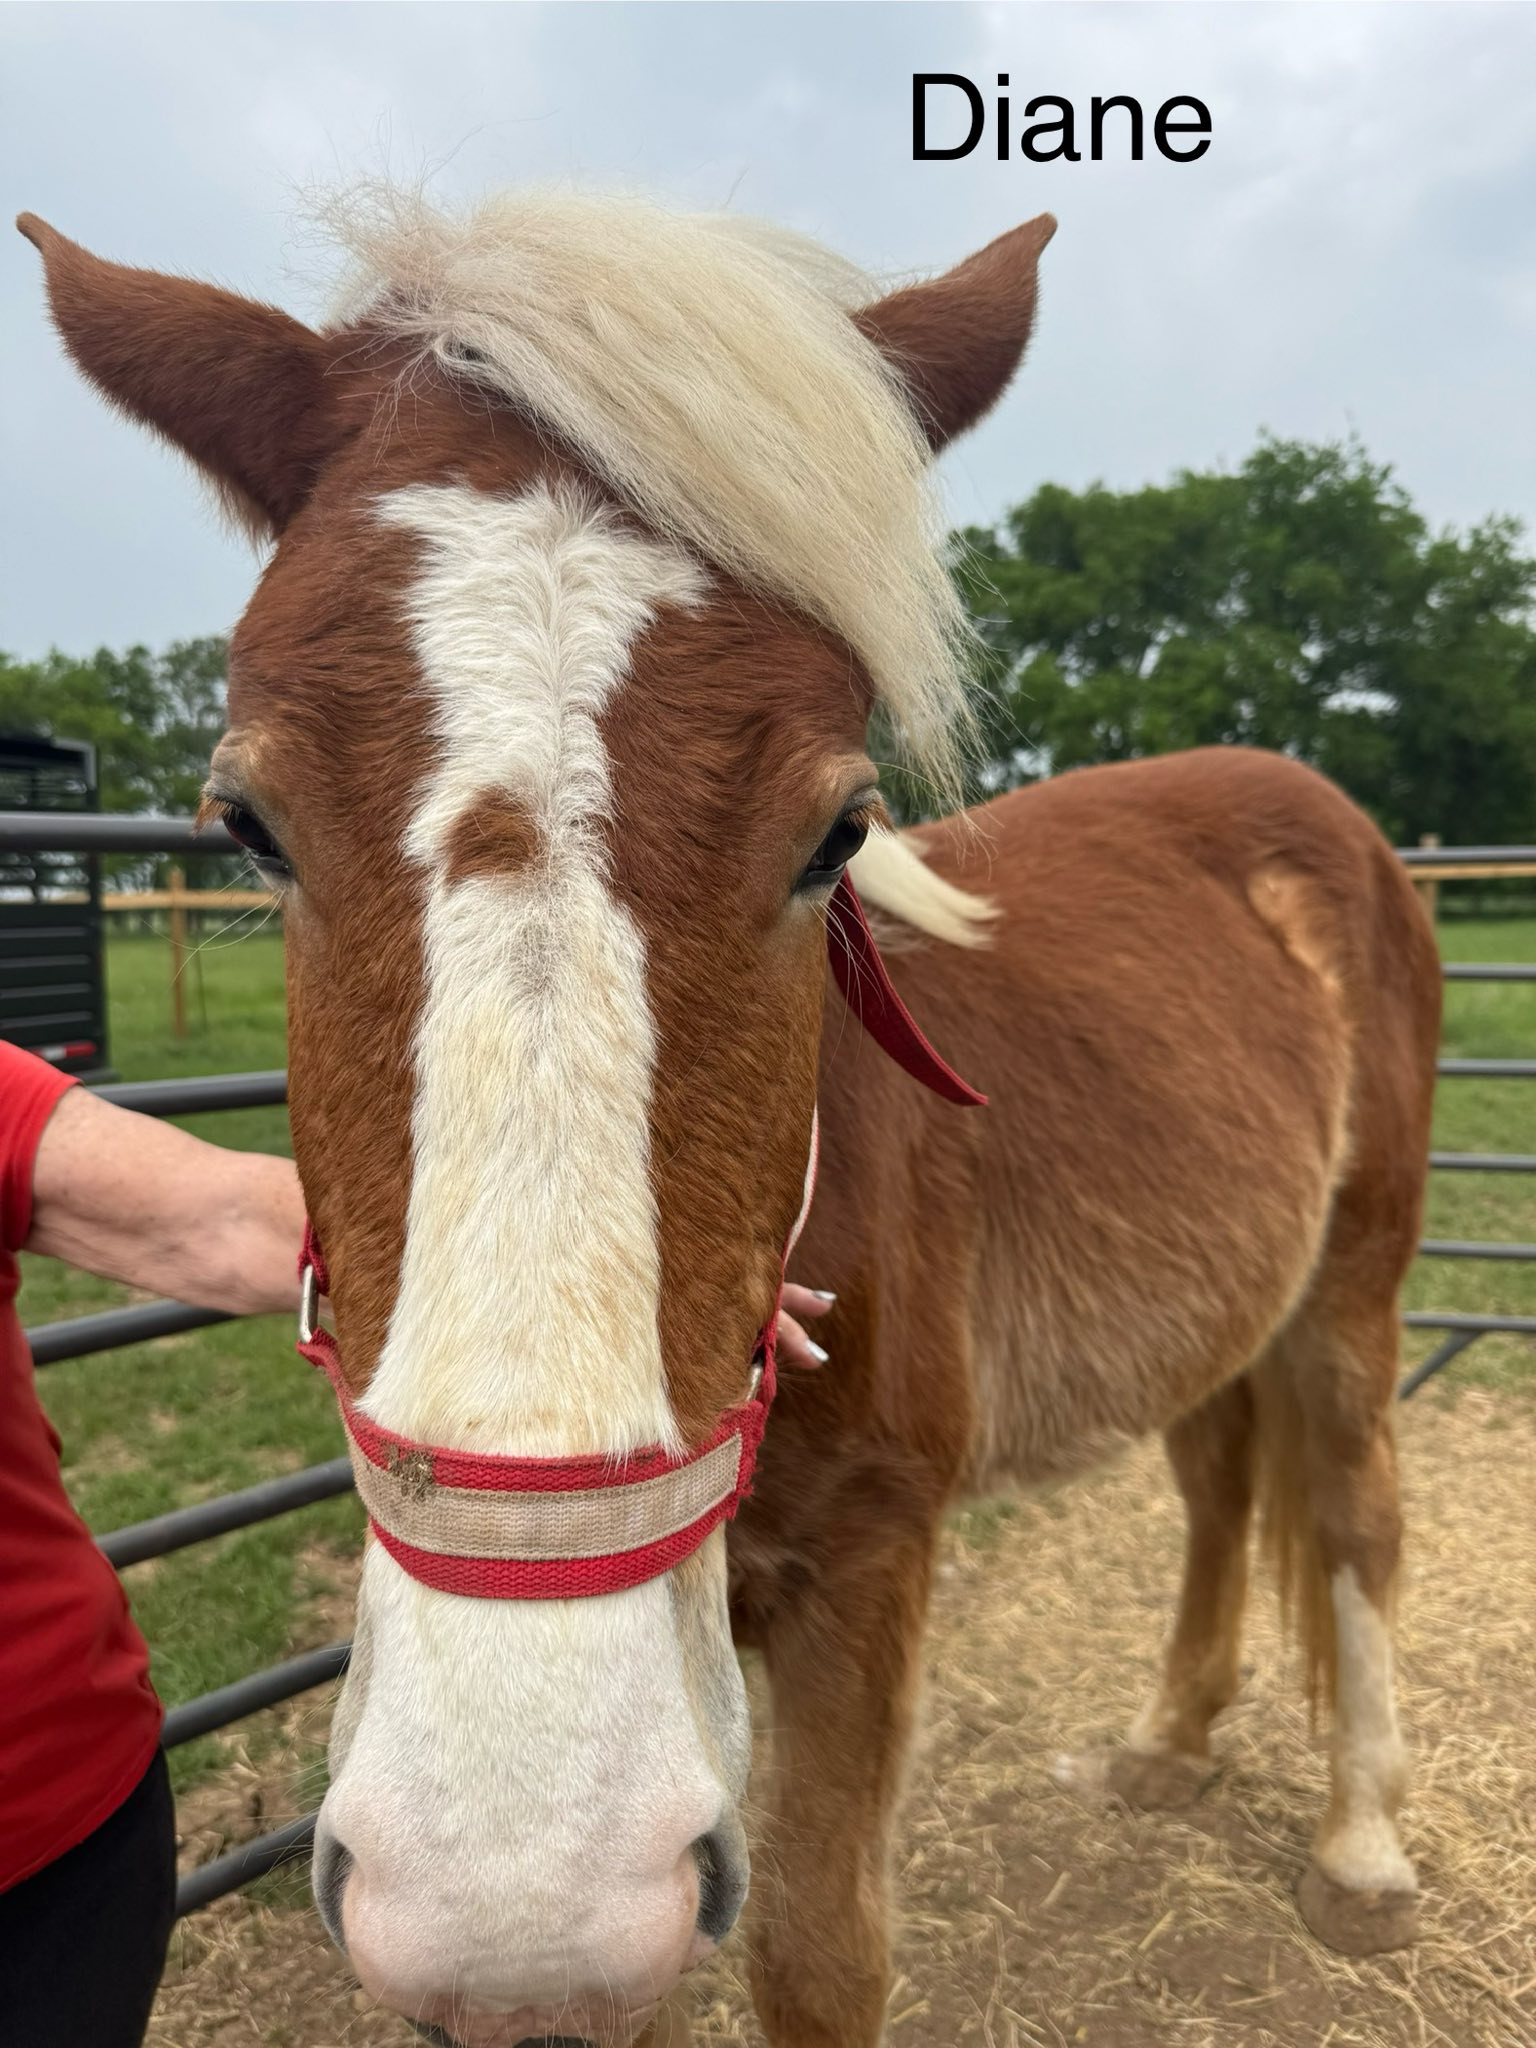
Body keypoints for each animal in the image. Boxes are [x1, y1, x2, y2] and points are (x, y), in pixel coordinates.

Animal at [23, 188, 1440, 2048]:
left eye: (839, 830)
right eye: (248, 824)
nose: (514, 1884)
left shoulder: (867, 1570)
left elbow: (821, 1957)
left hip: (1354, 1283)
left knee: (1348, 1513)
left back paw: (1360, 1847)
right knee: (1217, 1475)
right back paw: (1168, 1743)